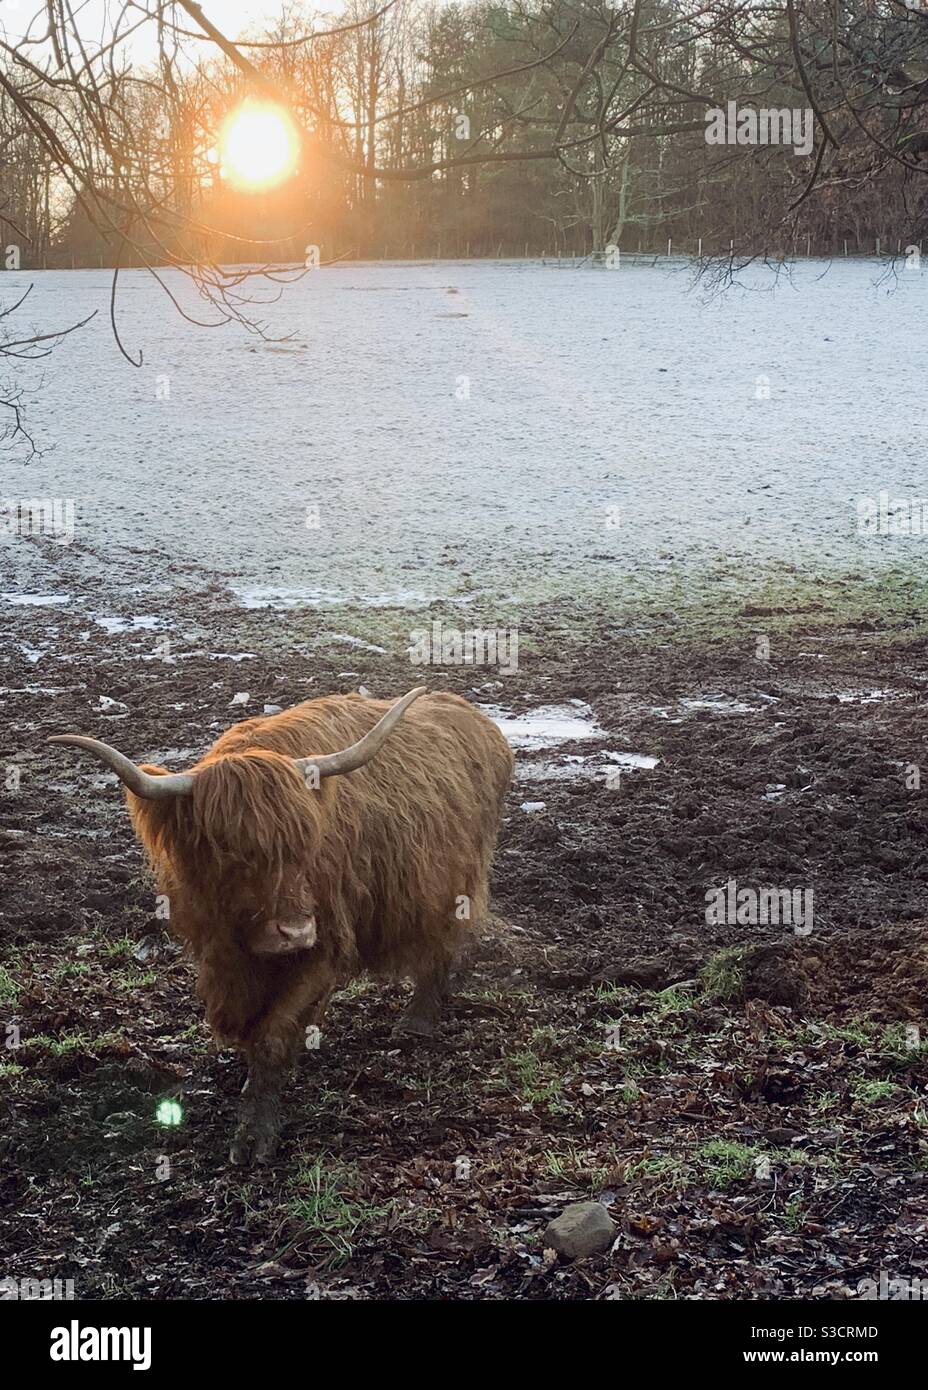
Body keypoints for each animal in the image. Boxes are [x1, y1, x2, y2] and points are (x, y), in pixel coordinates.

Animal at [49, 687, 513, 1164]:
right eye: (229, 850)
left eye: (306, 844)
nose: (296, 932)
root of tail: (472, 715)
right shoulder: (222, 954)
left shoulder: (325, 947)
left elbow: (272, 1034)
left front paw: (255, 1133)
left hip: (457, 884)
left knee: (444, 946)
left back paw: (416, 1021)